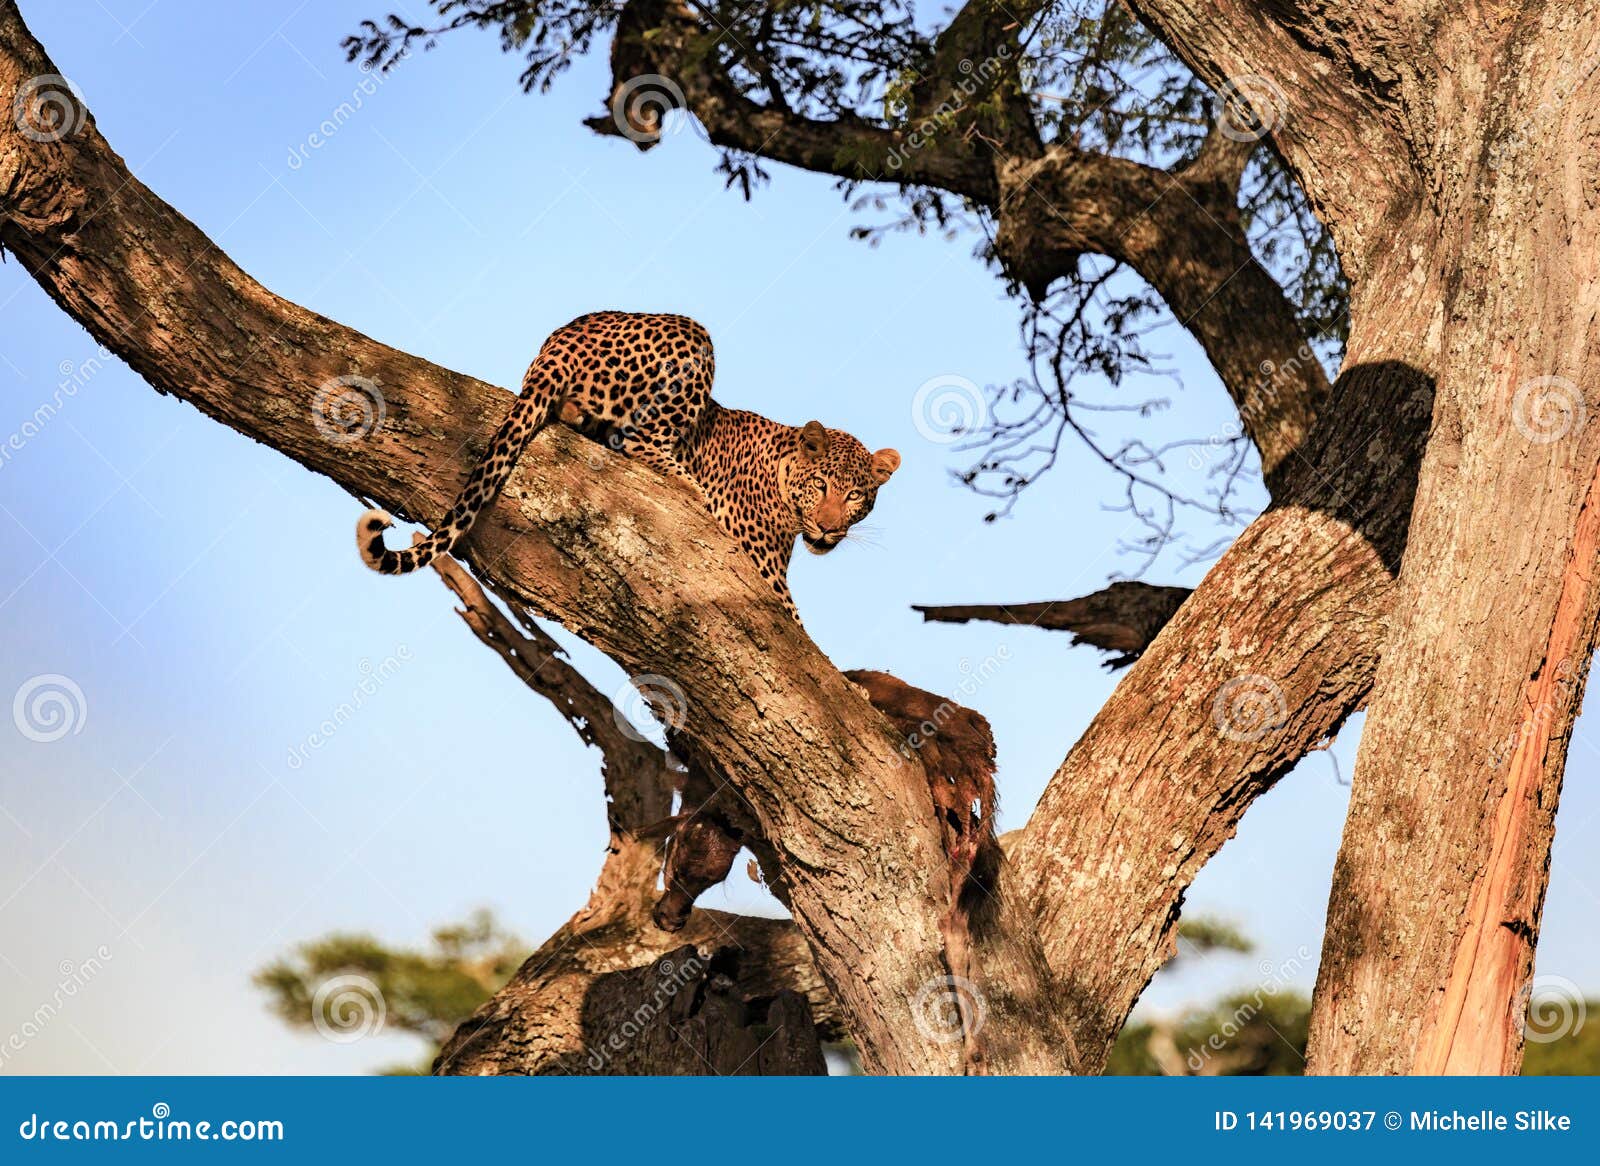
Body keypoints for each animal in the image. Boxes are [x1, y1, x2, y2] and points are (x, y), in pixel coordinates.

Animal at [357, 311, 900, 616]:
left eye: (856, 495)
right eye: (822, 484)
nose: (829, 529)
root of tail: (559, 343)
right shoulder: (764, 570)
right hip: (692, 342)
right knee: (638, 440)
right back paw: (690, 485)